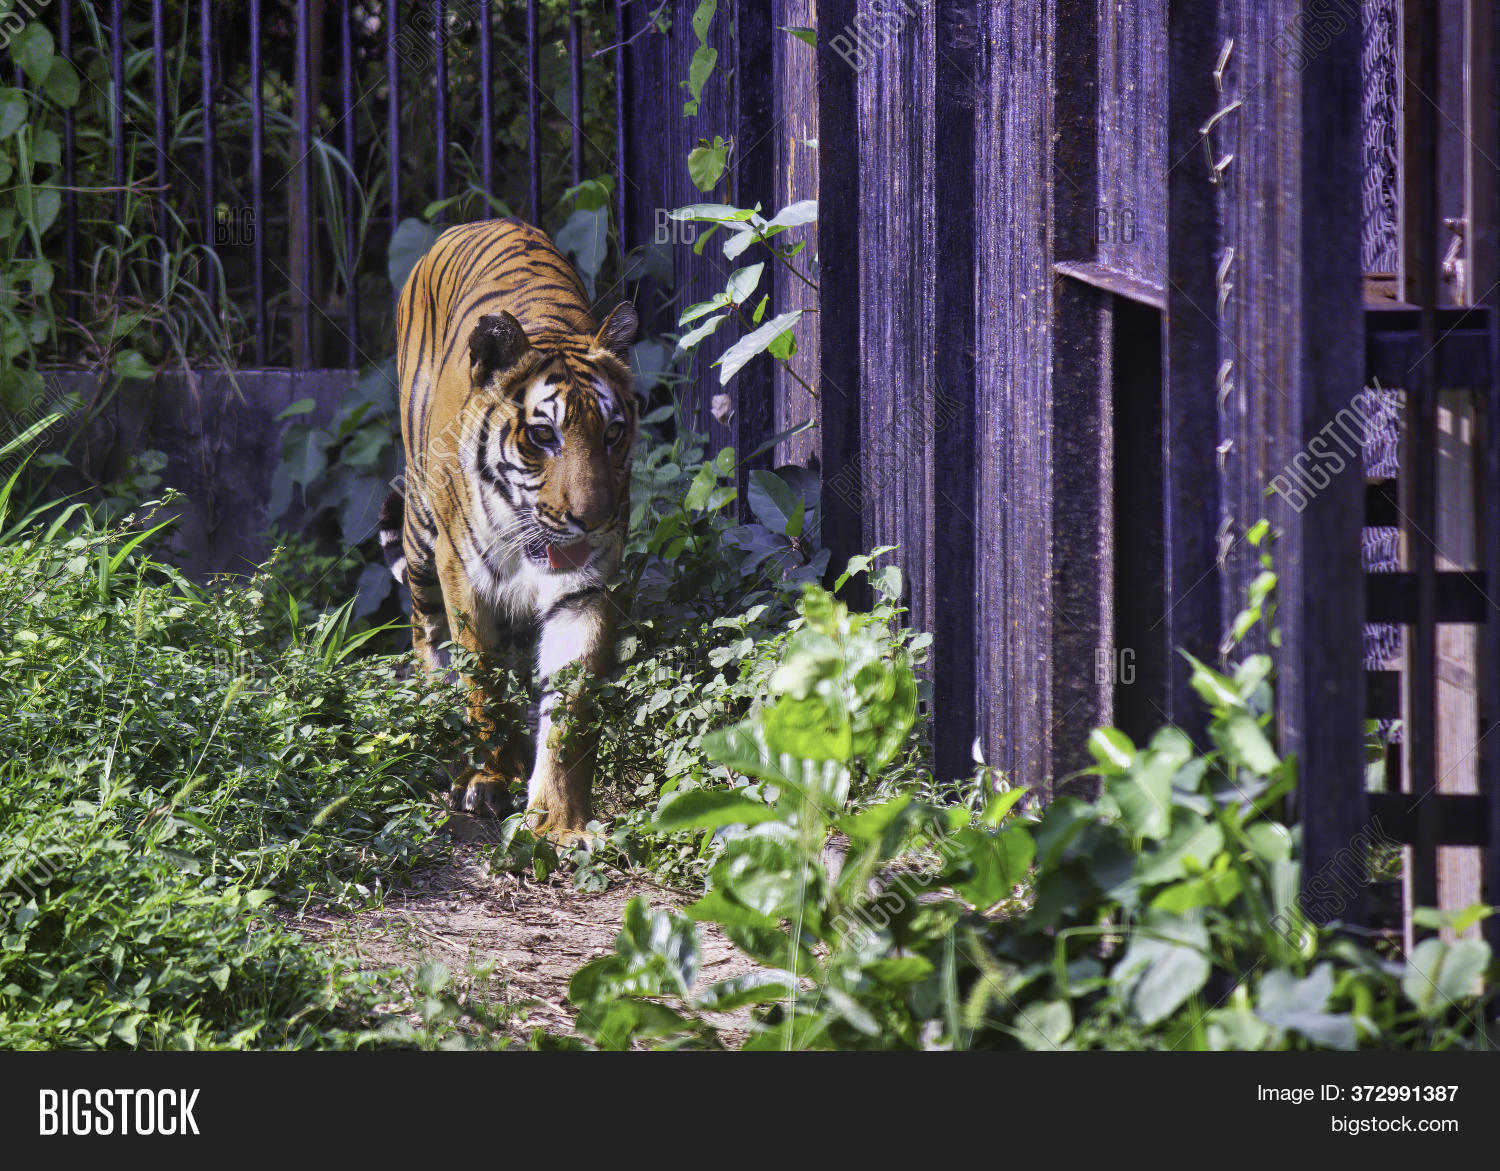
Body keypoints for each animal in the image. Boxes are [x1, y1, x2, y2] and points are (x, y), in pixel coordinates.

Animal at [378, 217, 638, 845]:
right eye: (544, 436)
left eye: (613, 434)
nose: (592, 518)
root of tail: (477, 220)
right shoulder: (464, 575)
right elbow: (484, 682)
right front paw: (489, 779)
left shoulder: (585, 590)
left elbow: (569, 705)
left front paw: (559, 821)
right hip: (420, 537)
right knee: (427, 635)